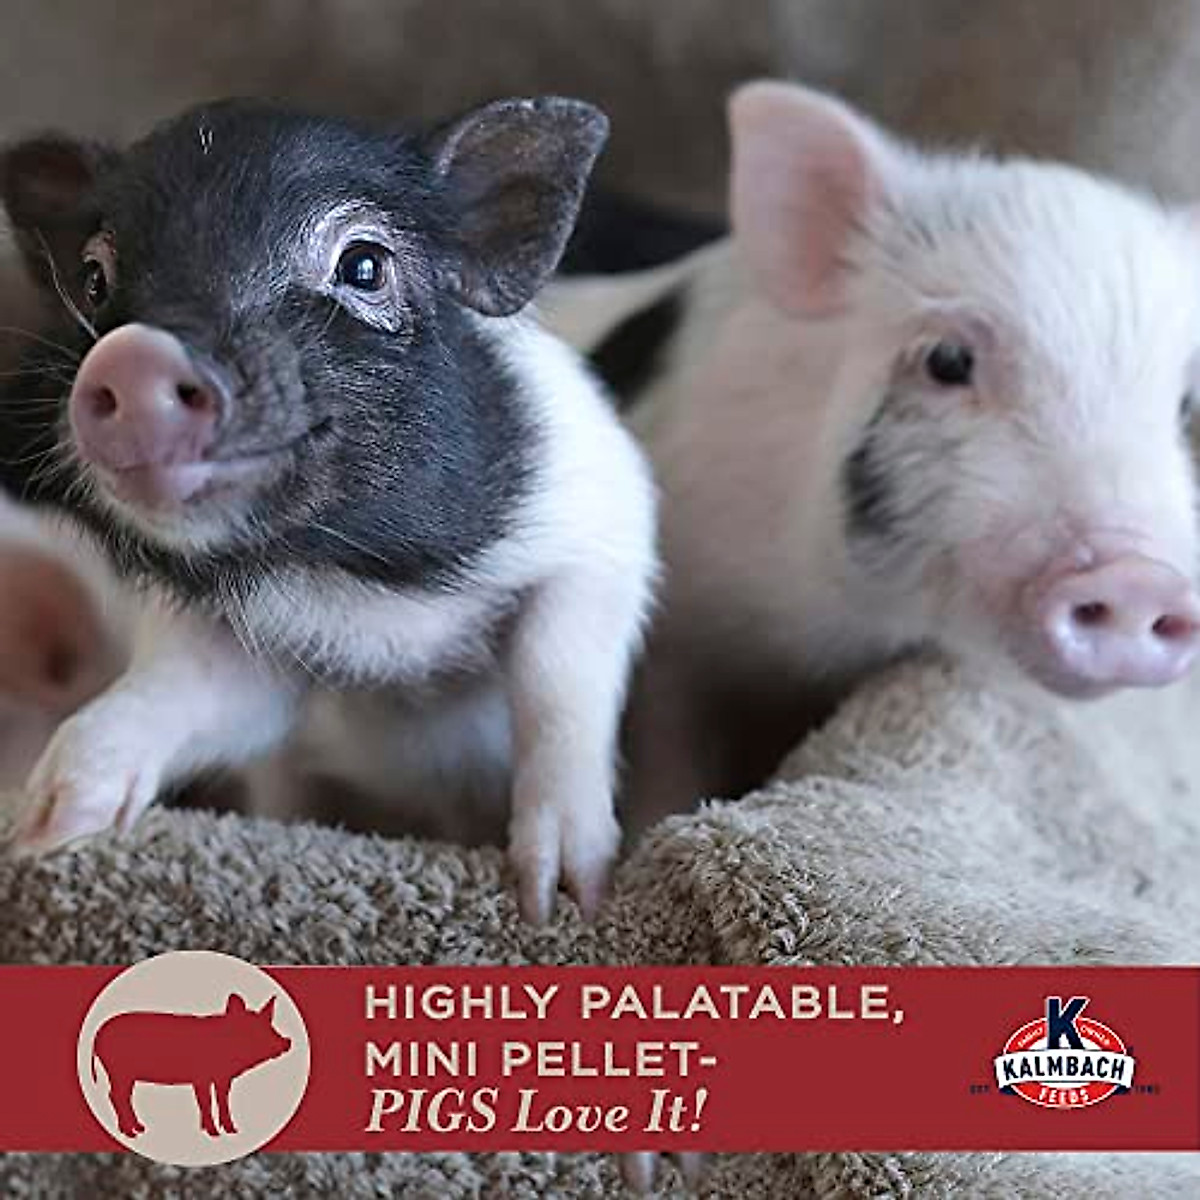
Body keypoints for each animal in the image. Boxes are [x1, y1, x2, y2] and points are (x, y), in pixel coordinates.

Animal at [0, 95, 656, 920]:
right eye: (93, 279)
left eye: (364, 265)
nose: (134, 355)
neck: (366, 600)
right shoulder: (244, 649)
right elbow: (182, 696)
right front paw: (38, 832)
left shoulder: (602, 519)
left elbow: (558, 683)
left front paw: (562, 898)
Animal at [91, 993, 291, 1138]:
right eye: (251, 1029)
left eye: (269, 1025)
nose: (286, 1041)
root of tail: (97, 1034)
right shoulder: (201, 1077)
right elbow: (206, 1102)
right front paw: (214, 1134)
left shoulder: (222, 1077)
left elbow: (222, 1100)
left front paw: (232, 1131)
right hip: (118, 1071)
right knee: (115, 1096)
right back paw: (130, 1134)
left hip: (127, 1075)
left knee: (123, 1097)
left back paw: (140, 1129)